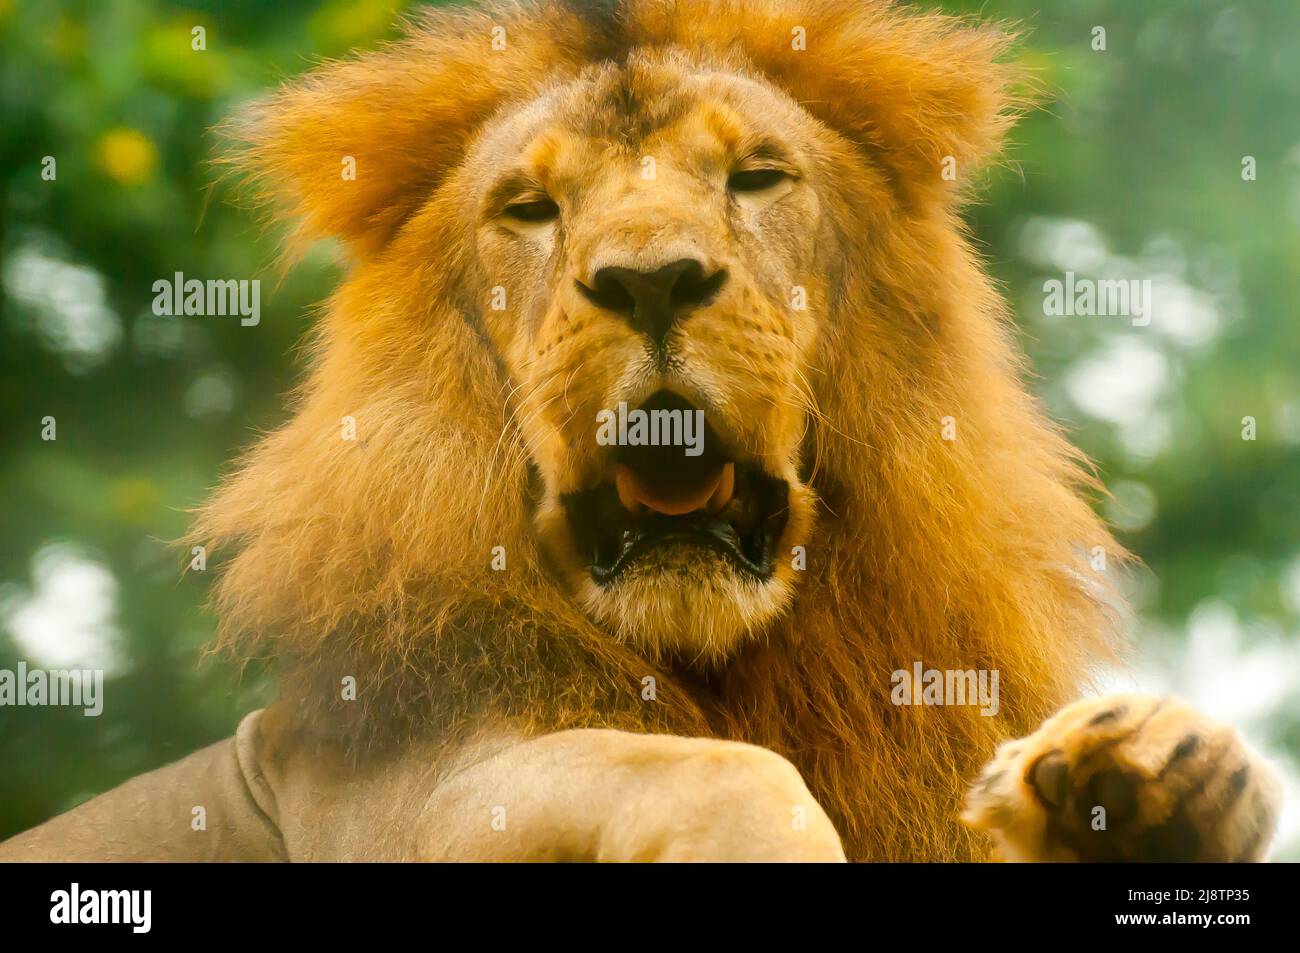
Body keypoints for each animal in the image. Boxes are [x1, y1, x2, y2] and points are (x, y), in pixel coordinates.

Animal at [0, 0, 1281, 863]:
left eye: (755, 178)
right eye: (528, 208)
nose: (651, 278)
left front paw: (1160, 776)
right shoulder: (391, 804)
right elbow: (720, 776)